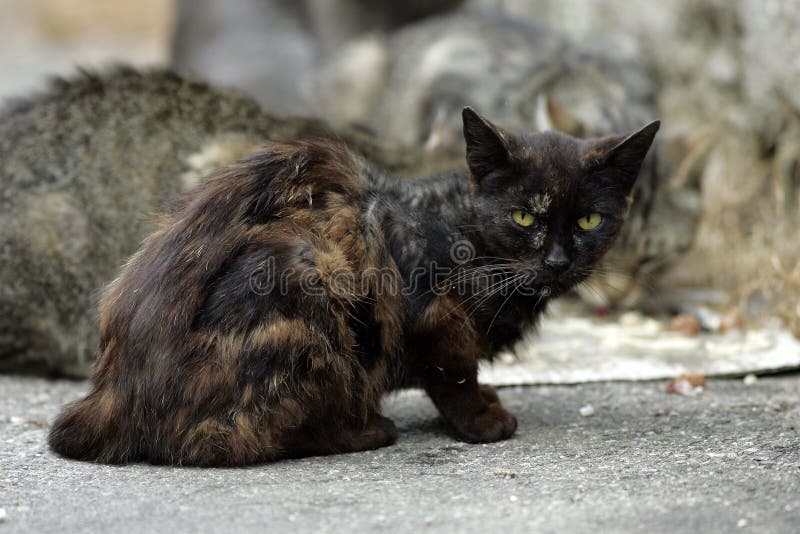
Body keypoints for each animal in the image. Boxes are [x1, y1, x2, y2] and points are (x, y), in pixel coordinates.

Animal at [51, 108, 664, 464]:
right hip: (307, 287)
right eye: (523, 217)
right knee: (216, 442)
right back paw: (363, 430)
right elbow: (455, 377)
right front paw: (480, 421)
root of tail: (109, 398)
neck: (467, 233)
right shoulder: (436, 320)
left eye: (589, 220)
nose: (558, 260)